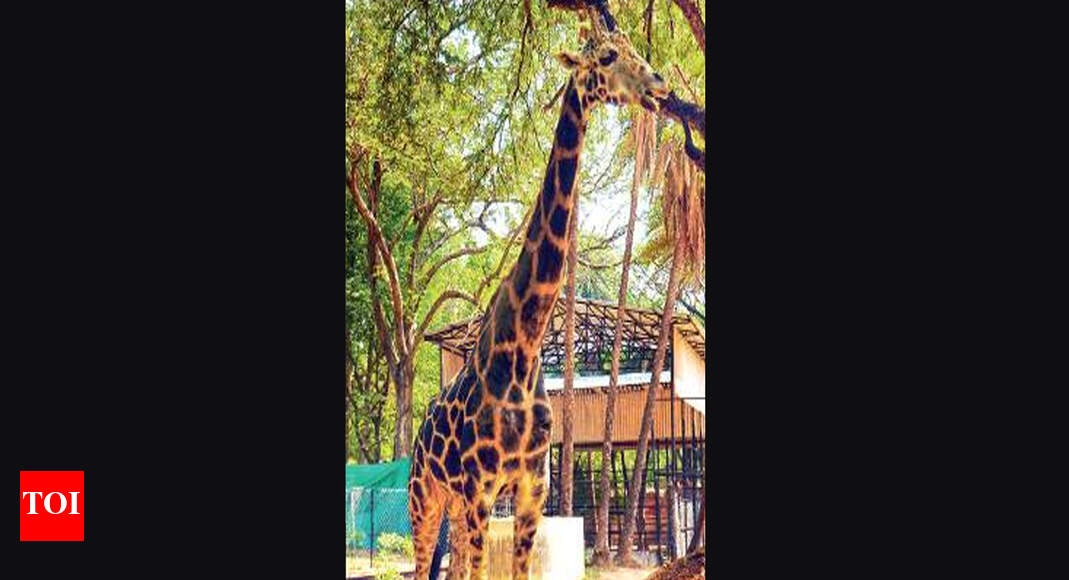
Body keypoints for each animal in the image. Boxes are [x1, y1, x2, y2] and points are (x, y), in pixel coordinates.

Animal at [409, 16, 669, 580]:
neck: (526, 343)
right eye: (607, 56)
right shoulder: (482, 493)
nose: (659, 85)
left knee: (452, 566)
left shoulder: (532, 492)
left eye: (633, 46)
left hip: (455, 507)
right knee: (423, 566)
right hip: (428, 498)